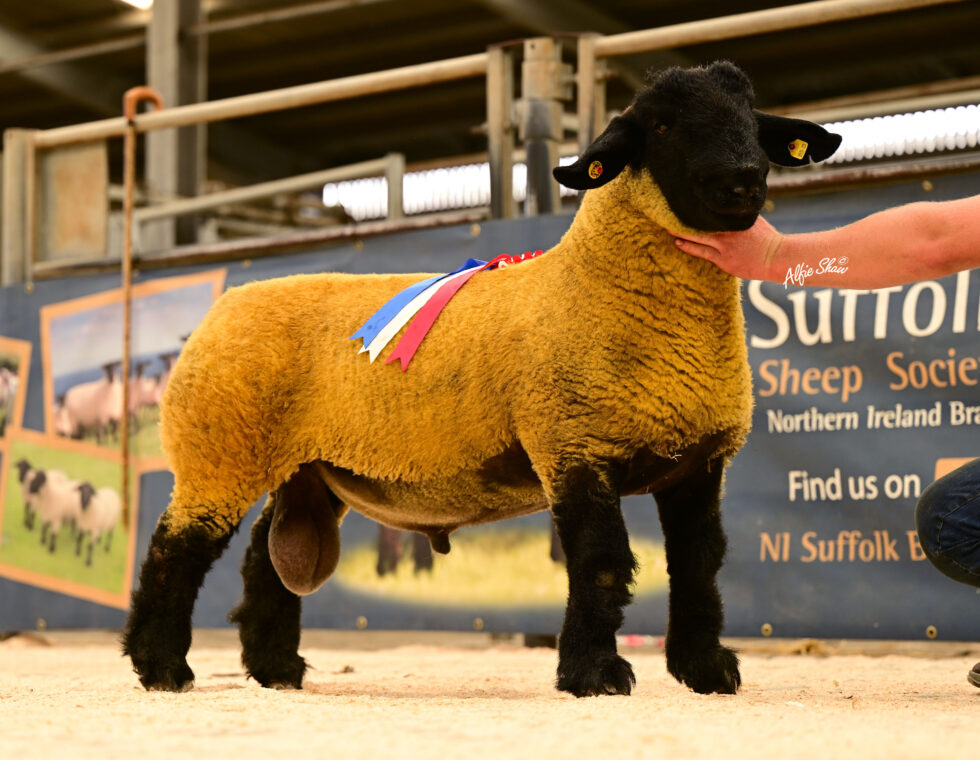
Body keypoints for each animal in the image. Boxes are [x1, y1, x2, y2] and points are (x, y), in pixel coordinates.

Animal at [122, 61, 841, 695]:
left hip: (306, 467)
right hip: (219, 452)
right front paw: (594, 675)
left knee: (263, 560)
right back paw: (162, 669)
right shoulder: (572, 445)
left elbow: (698, 565)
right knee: (174, 552)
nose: (742, 183)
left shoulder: (696, 462)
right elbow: (602, 564)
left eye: (750, 117)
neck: (593, 285)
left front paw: (705, 671)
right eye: (661, 125)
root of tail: (223, 306)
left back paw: (275, 670)